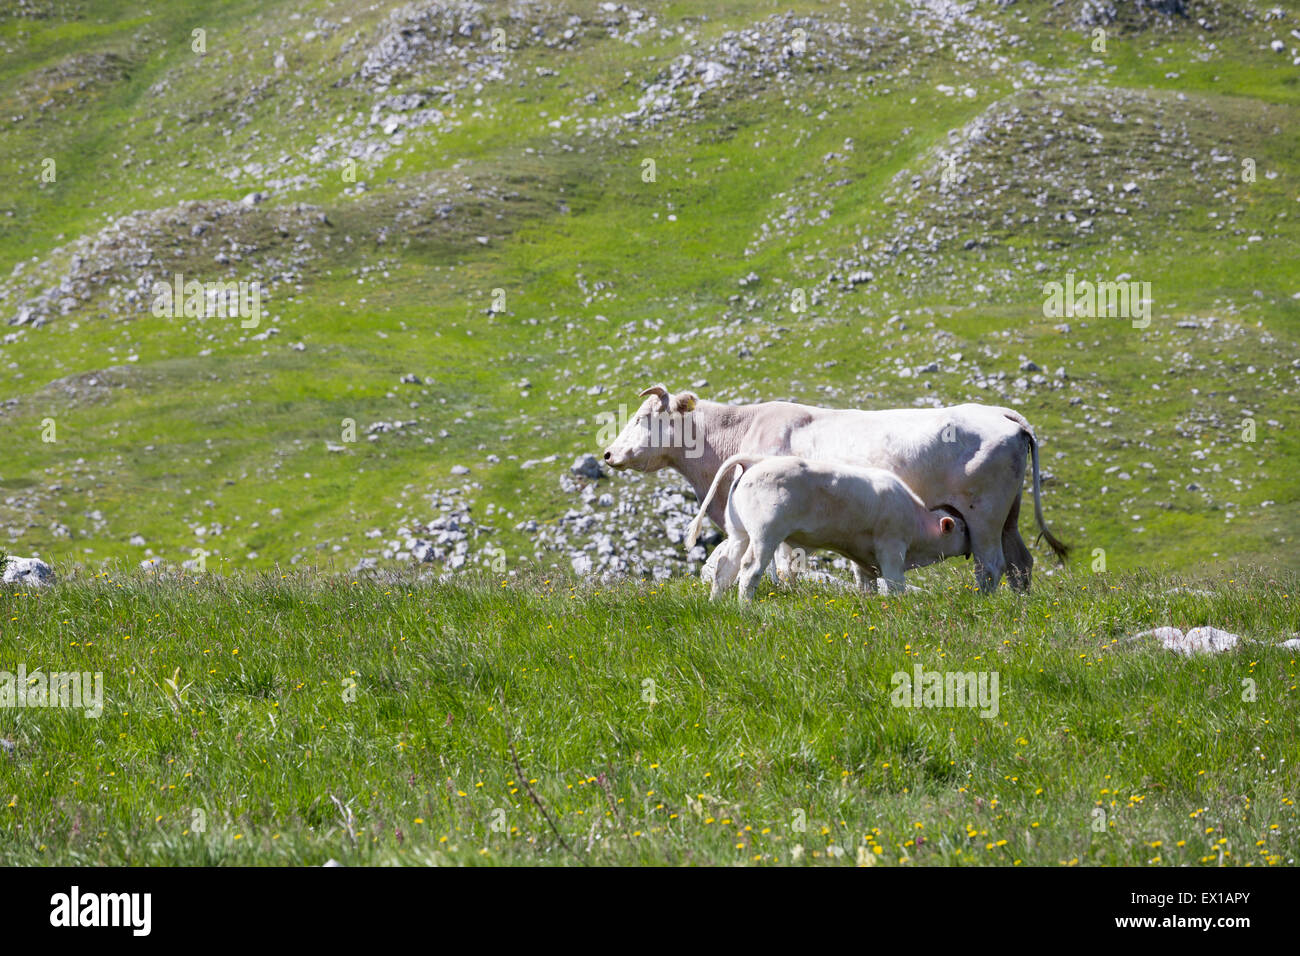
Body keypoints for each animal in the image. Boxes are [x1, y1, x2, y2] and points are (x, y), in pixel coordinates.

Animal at [685, 454, 970, 601]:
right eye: (962, 529)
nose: (971, 545)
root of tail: (754, 462)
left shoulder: (862, 557)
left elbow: (866, 583)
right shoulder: (892, 548)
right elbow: (894, 583)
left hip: (739, 534)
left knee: (726, 567)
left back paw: (716, 602)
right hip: (765, 537)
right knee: (749, 569)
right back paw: (745, 607)